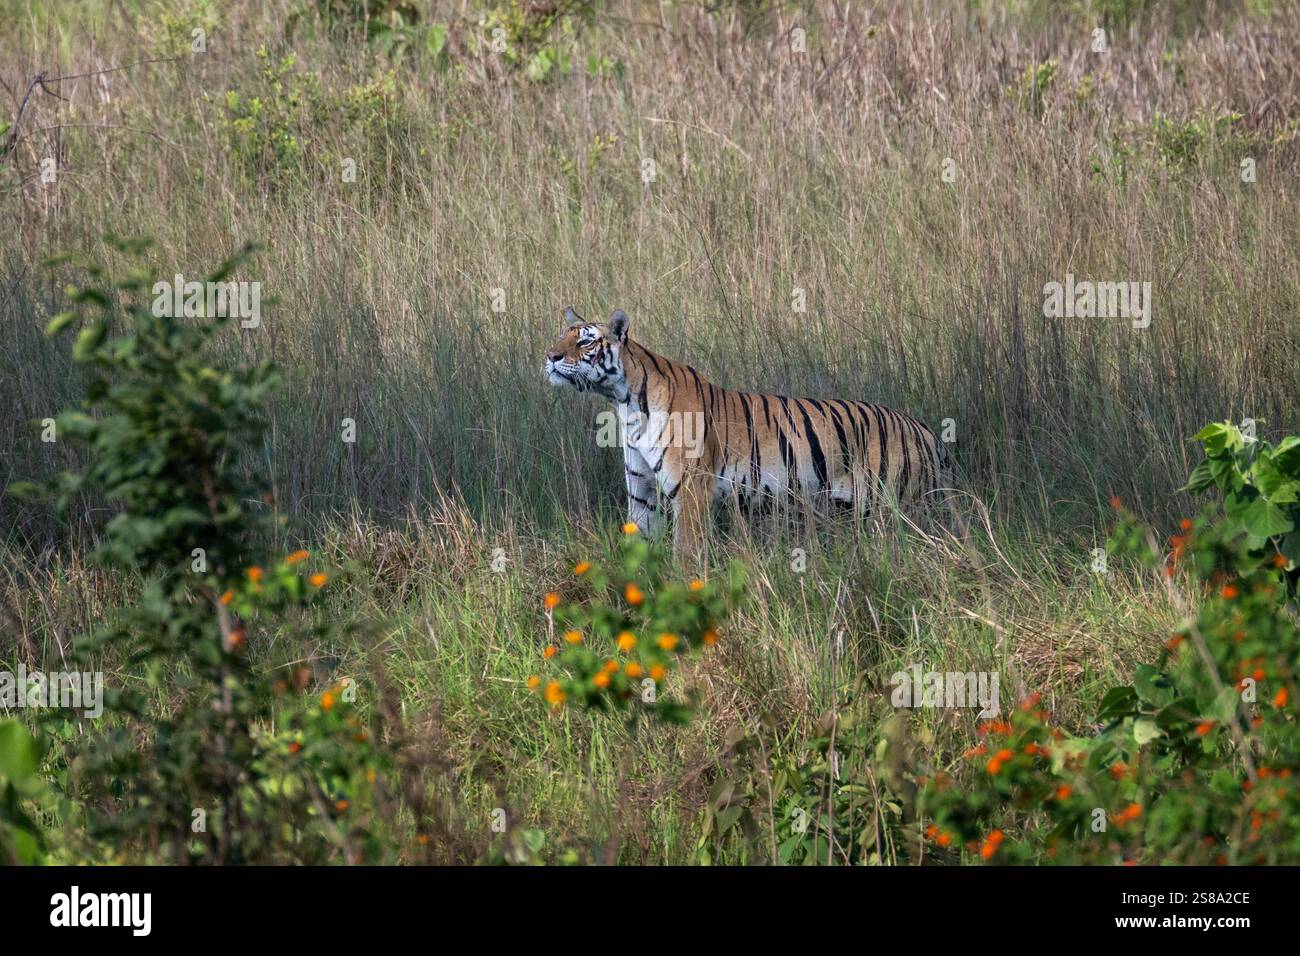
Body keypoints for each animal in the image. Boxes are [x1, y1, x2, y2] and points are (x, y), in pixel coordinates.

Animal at [544, 306, 954, 559]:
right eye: (561, 335)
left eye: (585, 340)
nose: (549, 356)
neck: (625, 400)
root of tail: (925, 430)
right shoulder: (642, 494)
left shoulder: (691, 490)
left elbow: (685, 553)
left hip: (904, 509)